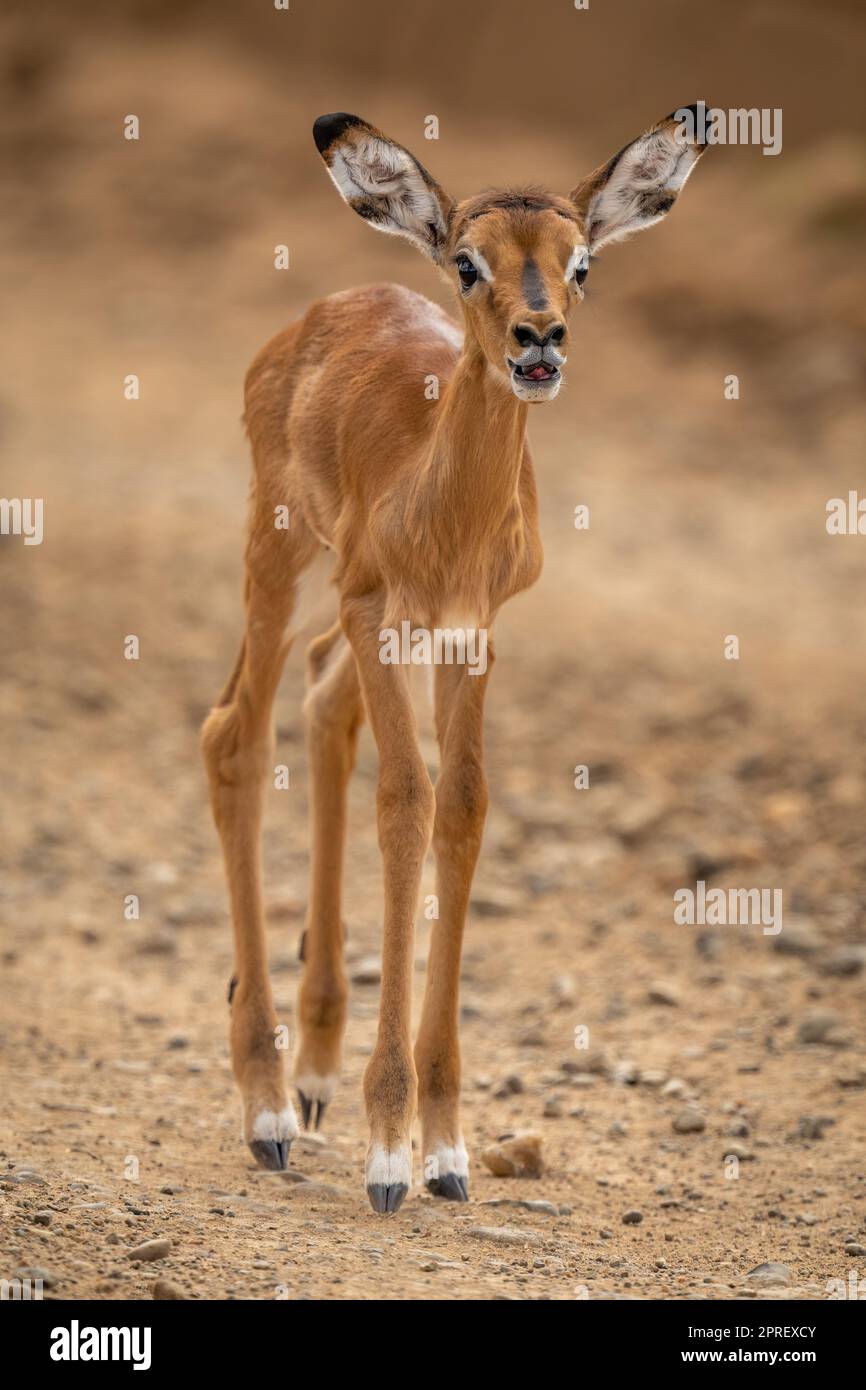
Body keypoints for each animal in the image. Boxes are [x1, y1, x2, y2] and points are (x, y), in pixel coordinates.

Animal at [202, 108, 709, 1213]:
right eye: (469, 262)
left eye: (581, 262)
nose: (539, 339)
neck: (445, 503)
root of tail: (312, 320)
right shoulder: (377, 613)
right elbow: (405, 802)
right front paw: (390, 1152)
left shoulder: (469, 637)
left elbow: (463, 809)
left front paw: (442, 1147)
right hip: (279, 557)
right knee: (234, 736)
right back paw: (268, 1110)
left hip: (355, 620)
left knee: (319, 702)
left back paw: (314, 1074)